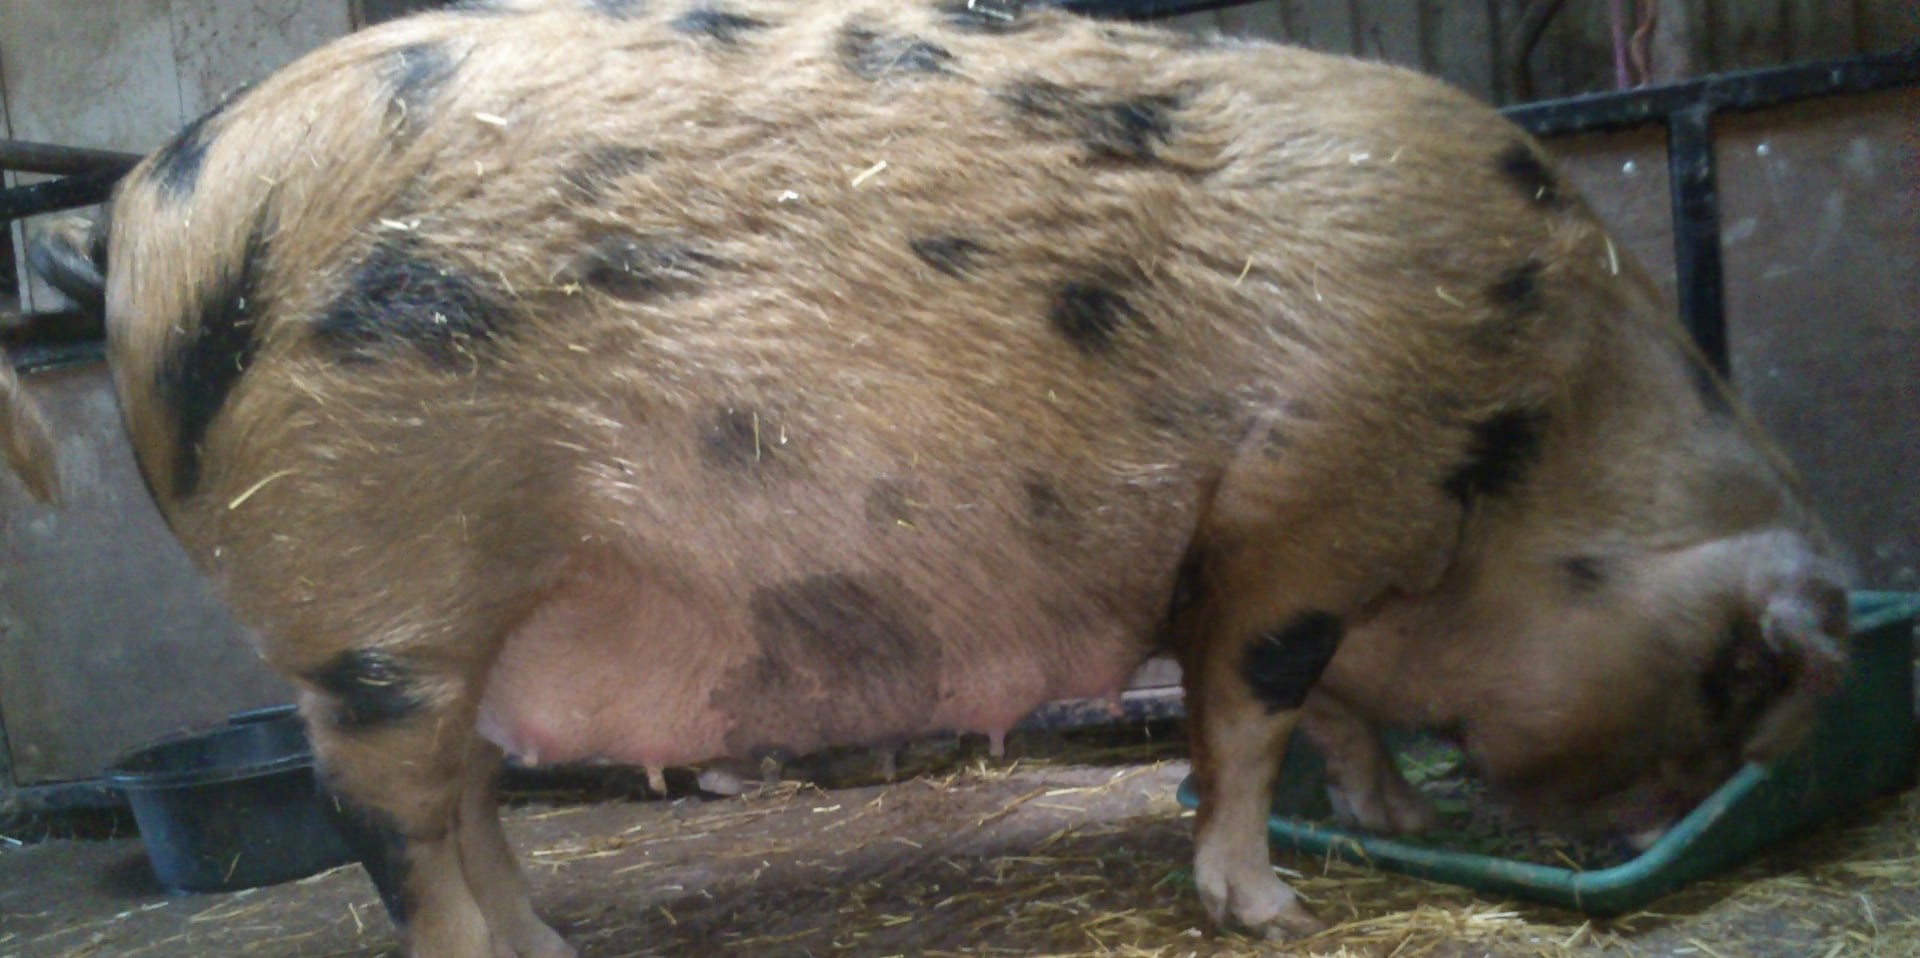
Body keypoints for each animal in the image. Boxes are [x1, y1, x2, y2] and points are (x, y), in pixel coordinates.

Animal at [4, 0, 1851, 955]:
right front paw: (1264, 905)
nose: (1648, 828)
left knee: (463, 797)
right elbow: (1254, 713)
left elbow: (1305, 716)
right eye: (1726, 683)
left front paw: (1390, 817)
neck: (1533, 438)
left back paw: (552, 951)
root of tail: (142, 201)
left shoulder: (1285, 549)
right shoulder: (1304, 515)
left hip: (431, 628)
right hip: (367, 590)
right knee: (385, 821)